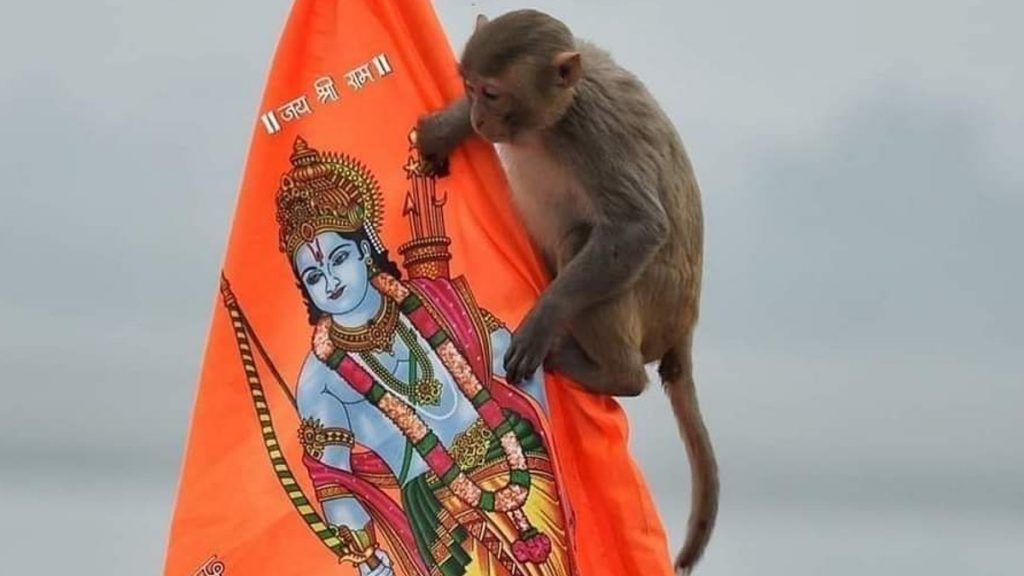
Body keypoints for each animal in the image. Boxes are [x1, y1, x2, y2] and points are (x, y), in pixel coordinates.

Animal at [415, 10, 717, 575]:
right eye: (471, 88)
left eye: (493, 93)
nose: (480, 119)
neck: (552, 121)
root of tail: (686, 320)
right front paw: (446, 128)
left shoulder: (595, 135)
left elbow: (638, 227)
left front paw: (540, 321)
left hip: (652, 306)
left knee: (586, 238)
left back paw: (613, 374)